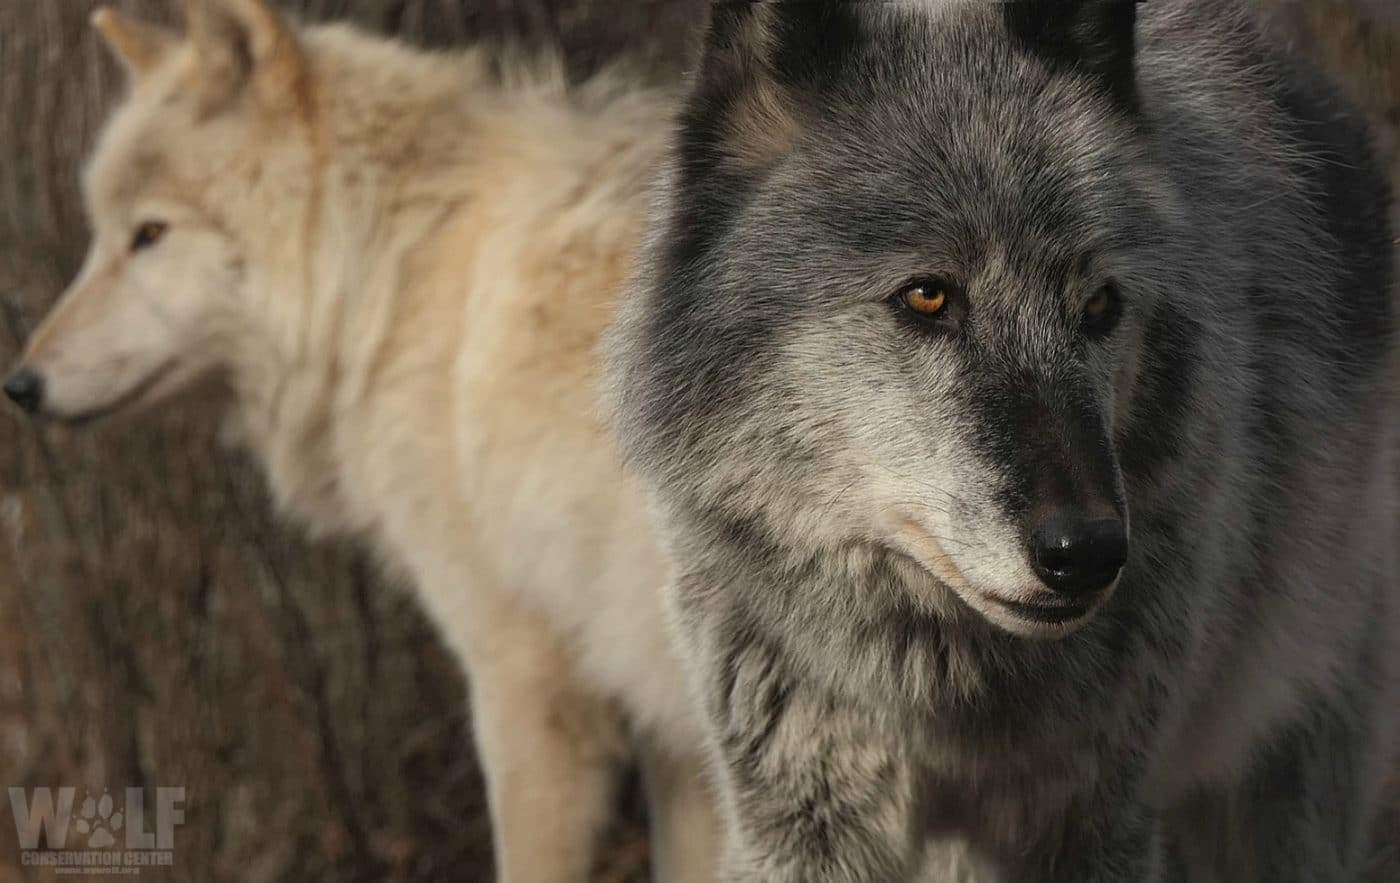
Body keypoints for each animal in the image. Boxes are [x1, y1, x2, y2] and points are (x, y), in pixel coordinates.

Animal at [3, 1, 719, 879]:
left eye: (150, 234)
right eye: (101, 235)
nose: (21, 385)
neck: (394, 269)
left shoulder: (524, 677)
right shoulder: (662, 716)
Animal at [606, 0, 1399, 880]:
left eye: (1100, 306)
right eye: (927, 295)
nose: (1087, 551)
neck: (941, 689)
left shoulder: (1100, 819)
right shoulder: (799, 823)